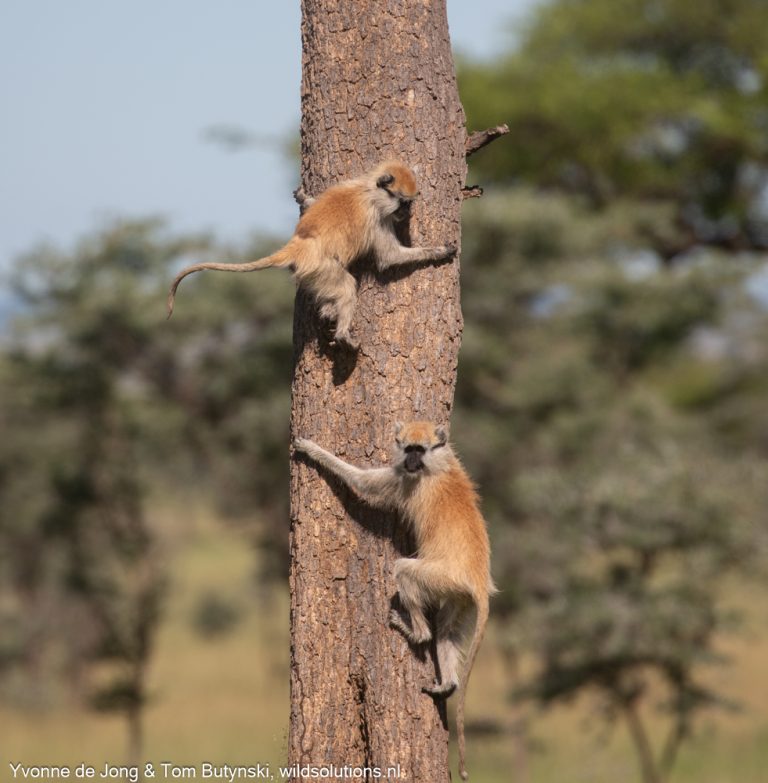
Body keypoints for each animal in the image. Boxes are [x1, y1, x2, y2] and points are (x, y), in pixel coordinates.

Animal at [166, 161, 456, 350]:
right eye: (403, 203)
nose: (407, 213)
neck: (367, 189)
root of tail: (298, 245)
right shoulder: (376, 217)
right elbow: (389, 257)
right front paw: (441, 251)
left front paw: (305, 199)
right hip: (321, 268)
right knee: (346, 285)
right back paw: (343, 336)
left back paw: (329, 314)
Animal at [293, 421, 495, 781]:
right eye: (408, 447)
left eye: (420, 450)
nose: (411, 461)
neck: (437, 465)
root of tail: (477, 579)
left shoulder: (403, 482)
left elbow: (363, 482)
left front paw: (312, 451)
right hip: (459, 595)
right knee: (447, 630)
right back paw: (449, 683)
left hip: (442, 577)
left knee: (404, 573)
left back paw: (416, 632)